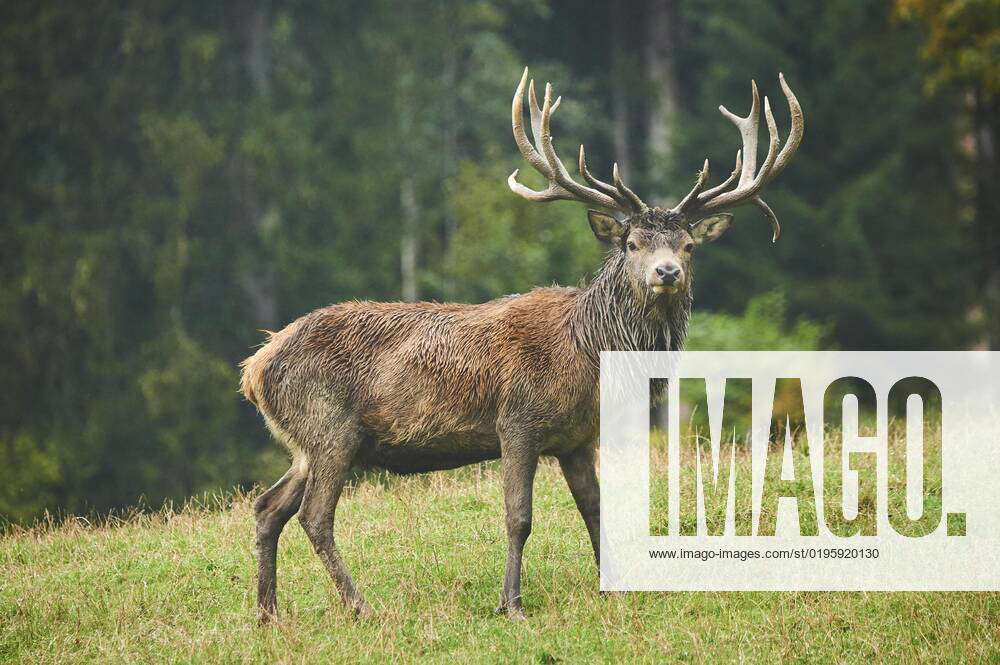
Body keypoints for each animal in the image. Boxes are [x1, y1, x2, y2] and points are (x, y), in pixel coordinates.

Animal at [241, 66, 803, 622]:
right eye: (632, 243)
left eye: (688, 246)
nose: (667, 272)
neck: (590, 357)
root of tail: (256, 367)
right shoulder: (517, 422)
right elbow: (519, 516)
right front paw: (511, 604)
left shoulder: (578, 438)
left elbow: (594, 510)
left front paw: (616, 590)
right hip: (329, 427)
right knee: (315, 515)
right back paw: (359, 606)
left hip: (307, 443)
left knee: (269, 507)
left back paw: (269, 612)